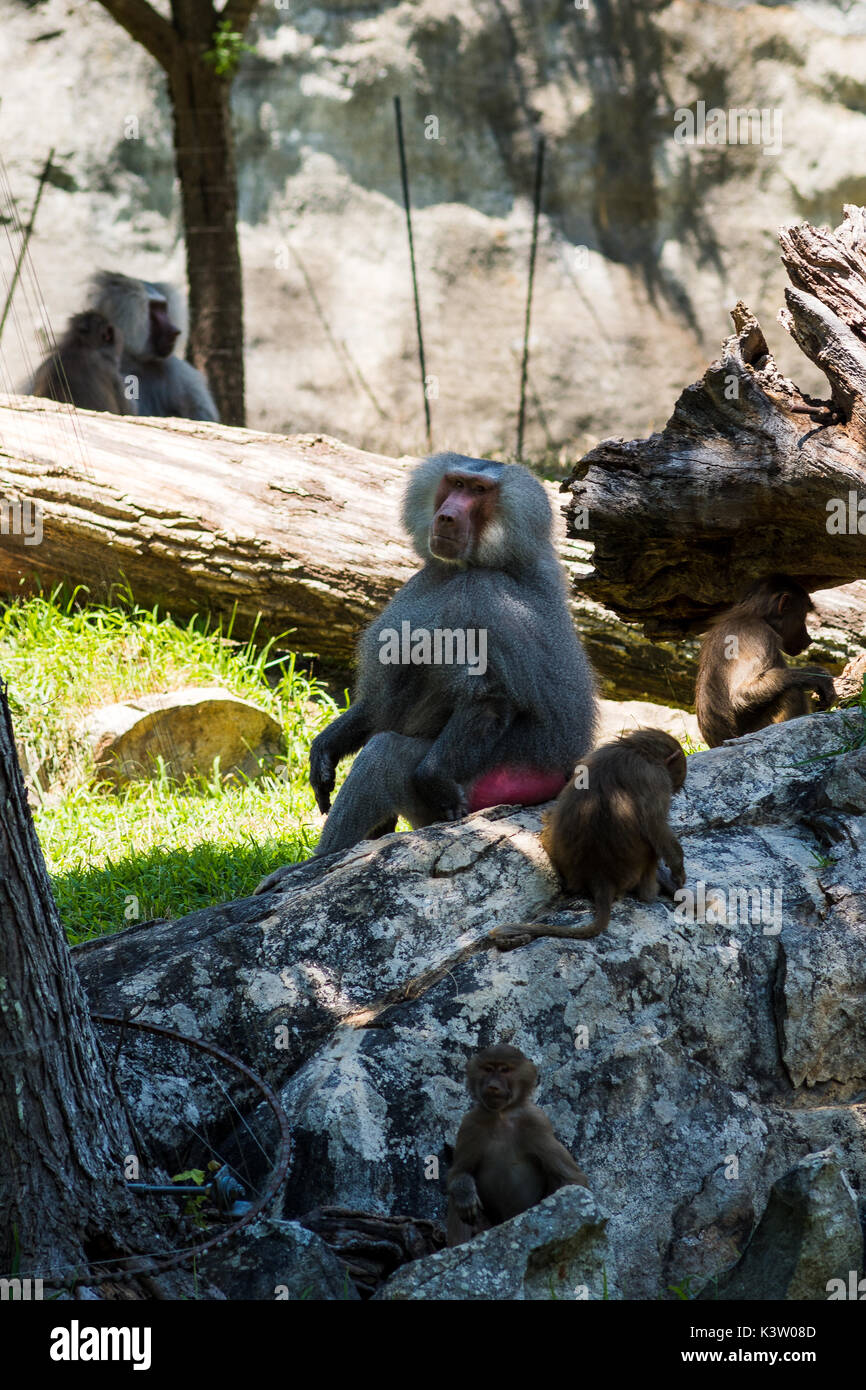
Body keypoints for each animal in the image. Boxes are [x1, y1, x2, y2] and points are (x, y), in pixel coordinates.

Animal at [254, 452, 597, 889]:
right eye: (456, 484)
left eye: (479, 491)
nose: (447, 516)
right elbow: (378, 704)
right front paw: (325, 749)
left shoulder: (483, 599)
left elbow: (490, 697)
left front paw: (433, 780)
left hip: (481, 792)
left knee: (383, 756)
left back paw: (312, 864)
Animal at [446, 1044, 589, 1247]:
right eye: (488, 1069)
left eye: (505, 1070)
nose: (493, 1086)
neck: (501, 1115)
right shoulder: (470, 1124)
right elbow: (458, 1174)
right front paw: (464, 1193)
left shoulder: (536, 1122)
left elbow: (572, 1180)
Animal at [489, 728, 687, 950]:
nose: (677, 790)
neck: (636, 749)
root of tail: (599, 878)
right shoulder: (657, 779)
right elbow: (657, 829)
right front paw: (678, 875)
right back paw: (652, 892)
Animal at [695, 575, 836, 748]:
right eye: (803, 616)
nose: (809, 639)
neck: (752, 614)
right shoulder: (759, 635)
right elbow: (740, 694)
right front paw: (817, 676)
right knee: (791, 690)